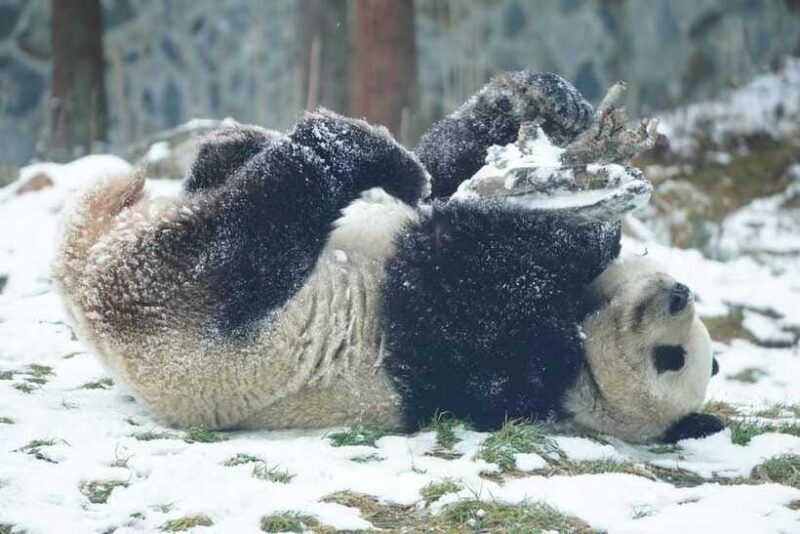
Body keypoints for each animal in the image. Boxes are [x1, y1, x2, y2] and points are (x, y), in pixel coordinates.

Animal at [53, 71, 724, 444]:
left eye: (671, 358)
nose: (678, 294)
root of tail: (82, 276)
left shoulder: (485, 369)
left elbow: (468, 279)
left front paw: (579, 232)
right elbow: (448, 177)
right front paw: (537, 106)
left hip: (192, 314)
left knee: (268, 216)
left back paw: (352, 148)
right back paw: (246, 142)